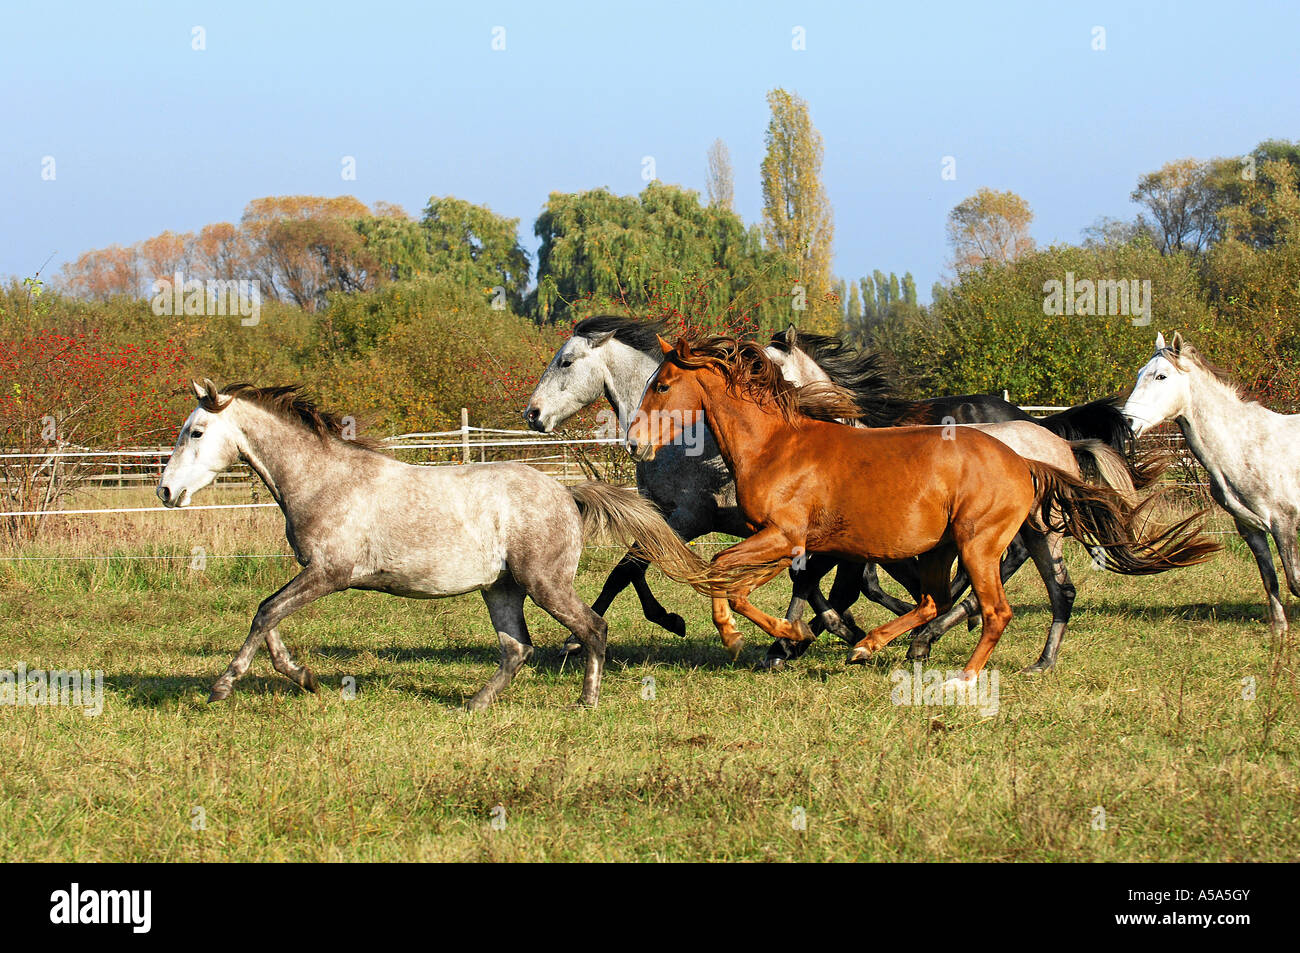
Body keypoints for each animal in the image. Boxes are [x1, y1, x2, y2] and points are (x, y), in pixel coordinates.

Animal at [156, 379, 712, 709]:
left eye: (196, 431)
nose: (165, 492)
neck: (324, 480)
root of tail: (567, 492)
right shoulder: (314, 574)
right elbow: (269, 618)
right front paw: (305, 677)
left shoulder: (328, 573)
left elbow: (265, 612)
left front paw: (224, 685)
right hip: (501, 588)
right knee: (517, 648)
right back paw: (474, 705)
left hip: (544, 583)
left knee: (591, 628)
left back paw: (586, 702)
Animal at [628, 336, 1220, 679]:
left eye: (662, 384)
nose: (634, 443)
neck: (779, 443)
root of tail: (1027, 457)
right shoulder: (798, 545)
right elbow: (752, 582)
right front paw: (791, 637)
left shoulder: (787, 537)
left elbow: (727, 574)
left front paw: (759, 637)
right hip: (947, 547)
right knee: (943, 599)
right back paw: (883, 646)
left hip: (981, 544)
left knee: (996, 608)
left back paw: (959, 672)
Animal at [1125, 331, 1300, 636]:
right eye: (1139, 373)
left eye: (1161, 376)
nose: (1128, 423)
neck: (1247, 446)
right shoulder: (1251, 528)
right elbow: (1271, 580)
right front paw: (1280, 632)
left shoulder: (1284, 522)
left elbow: (1294, 580)